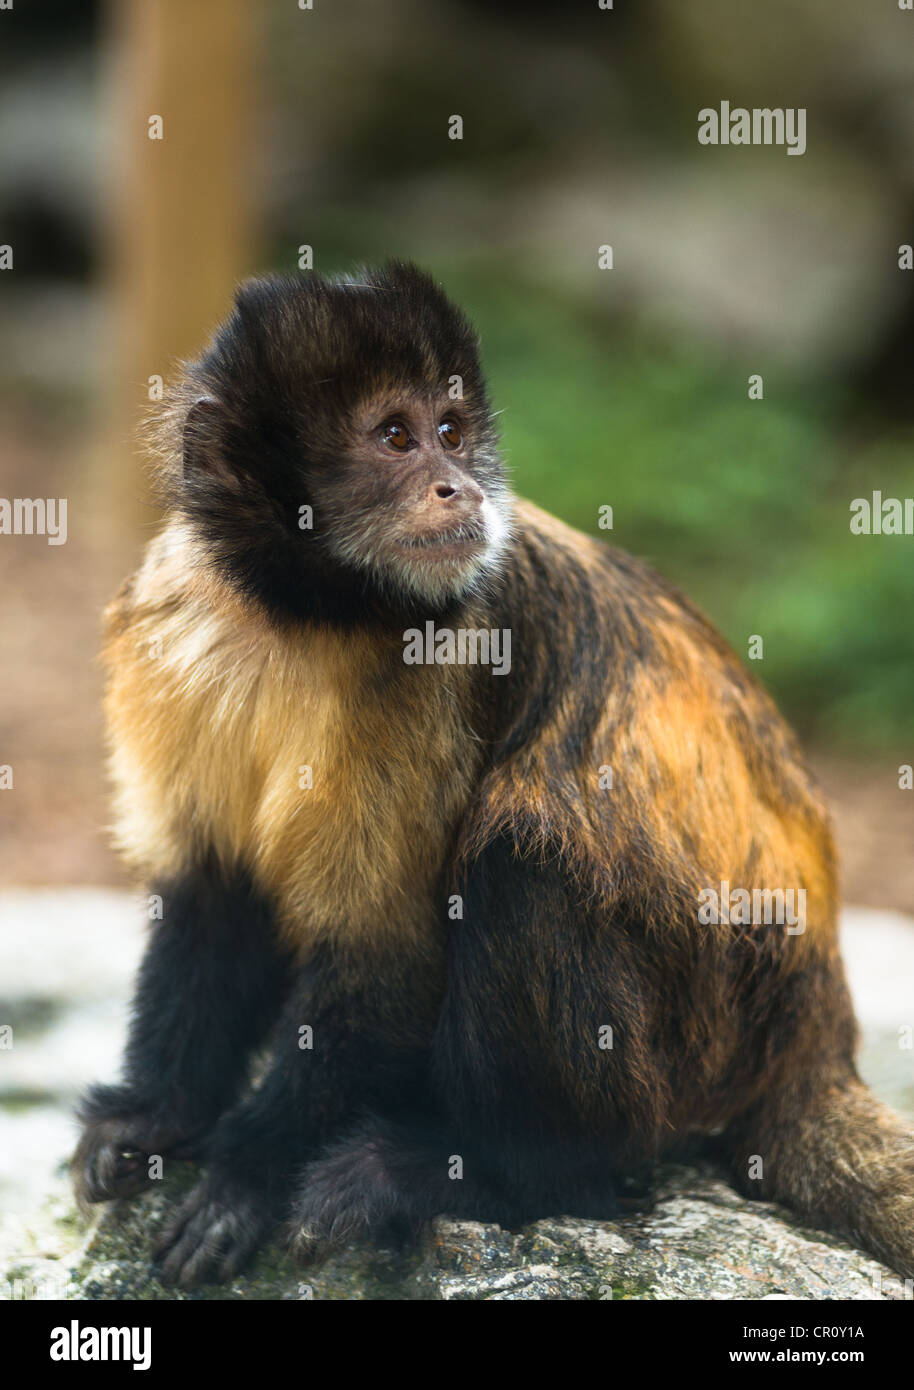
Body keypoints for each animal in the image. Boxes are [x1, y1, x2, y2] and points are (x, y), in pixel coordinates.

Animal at [73, 262, 914, 1289]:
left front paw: (250, 1173)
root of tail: (815, 1027)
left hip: (705, 1042)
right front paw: (159, 1116)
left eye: (450, 429)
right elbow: (213, 895)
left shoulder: (445, 657)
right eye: (395, 436)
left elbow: (387, 957)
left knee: (522, 860)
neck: (305, 616)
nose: (459, 484)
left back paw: (509, 1177)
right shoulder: (170, 617)